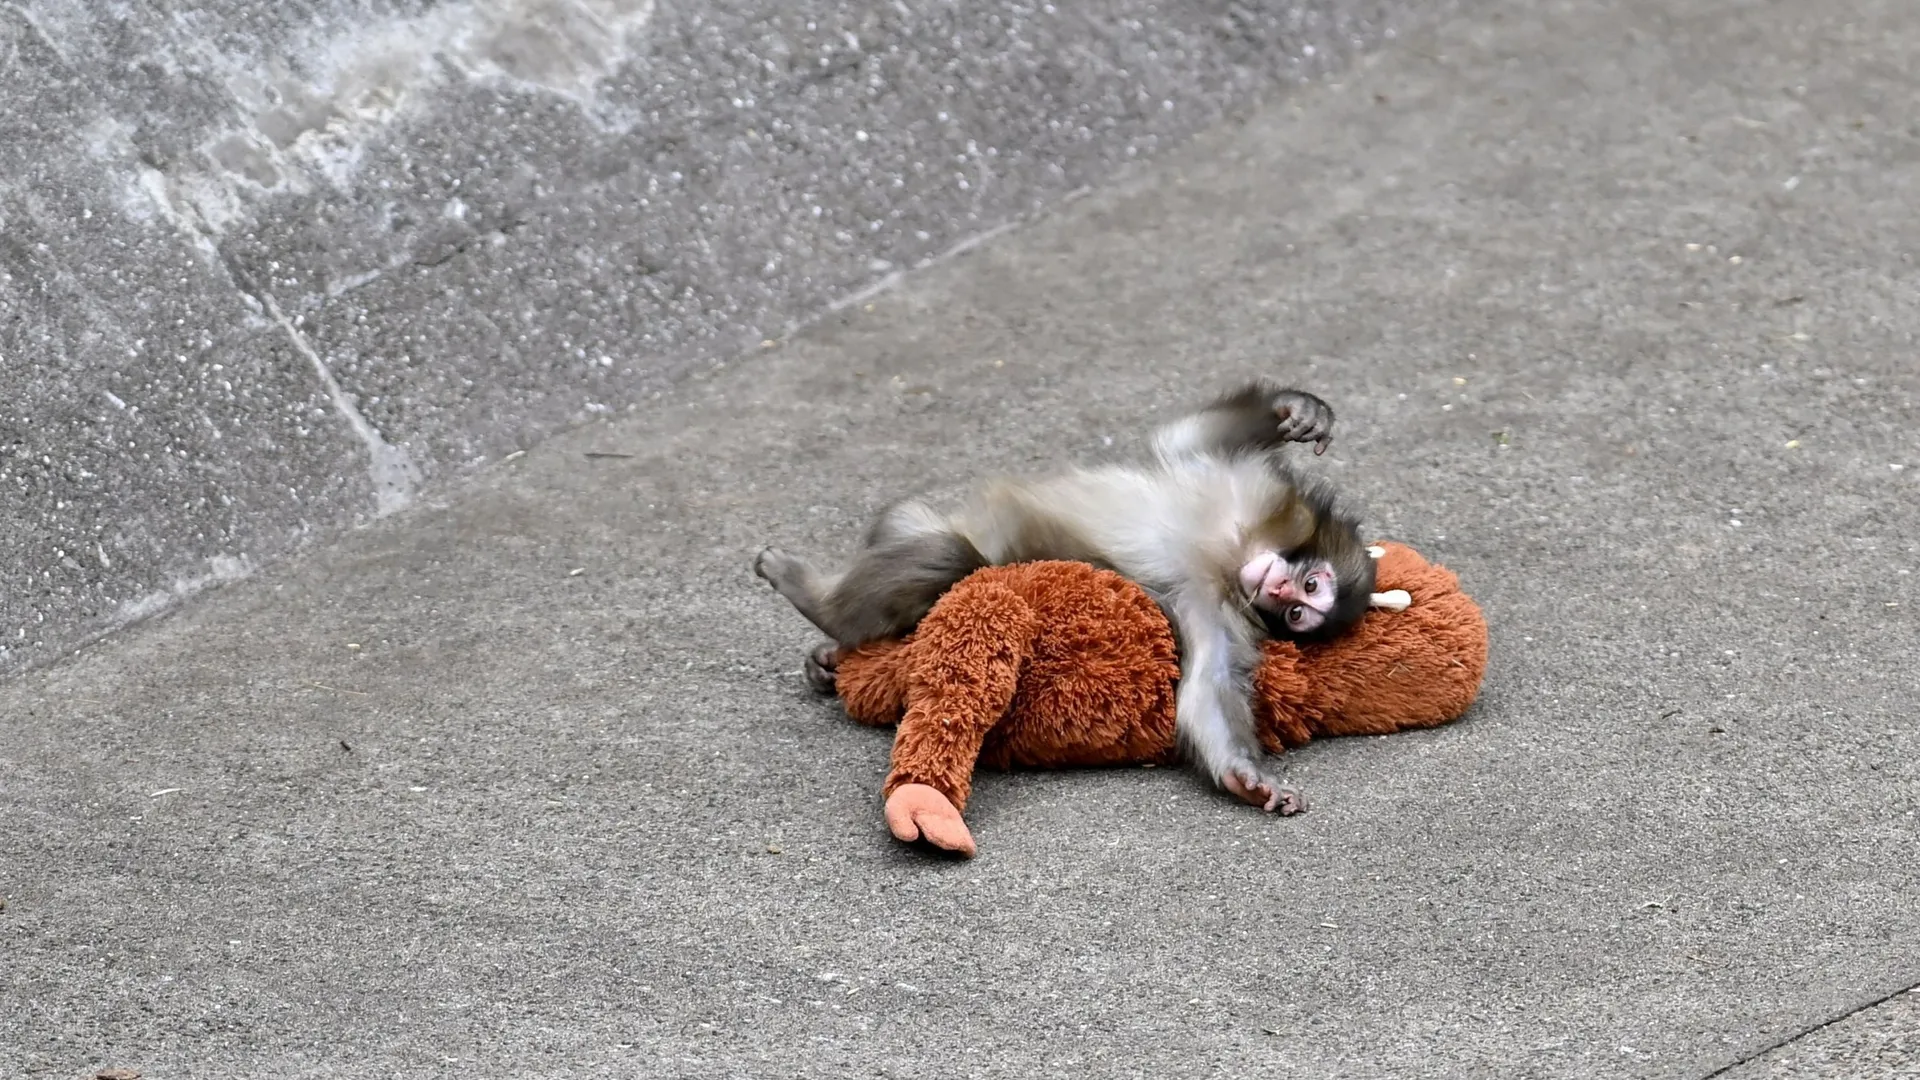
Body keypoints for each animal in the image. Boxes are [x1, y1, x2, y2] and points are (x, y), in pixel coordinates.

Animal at [753, 379, 1376, 815]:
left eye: (1298, 611)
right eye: (1309, 586)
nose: (1277, 587)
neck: (1232, 553)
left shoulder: (1218, 609)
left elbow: (1208, 684)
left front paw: (1245, 779)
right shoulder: (1251, 489)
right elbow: (1186, 437)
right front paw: (1296, 410)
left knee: (952, 558)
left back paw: (828, 628)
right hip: (910, 519)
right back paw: (822, 611)